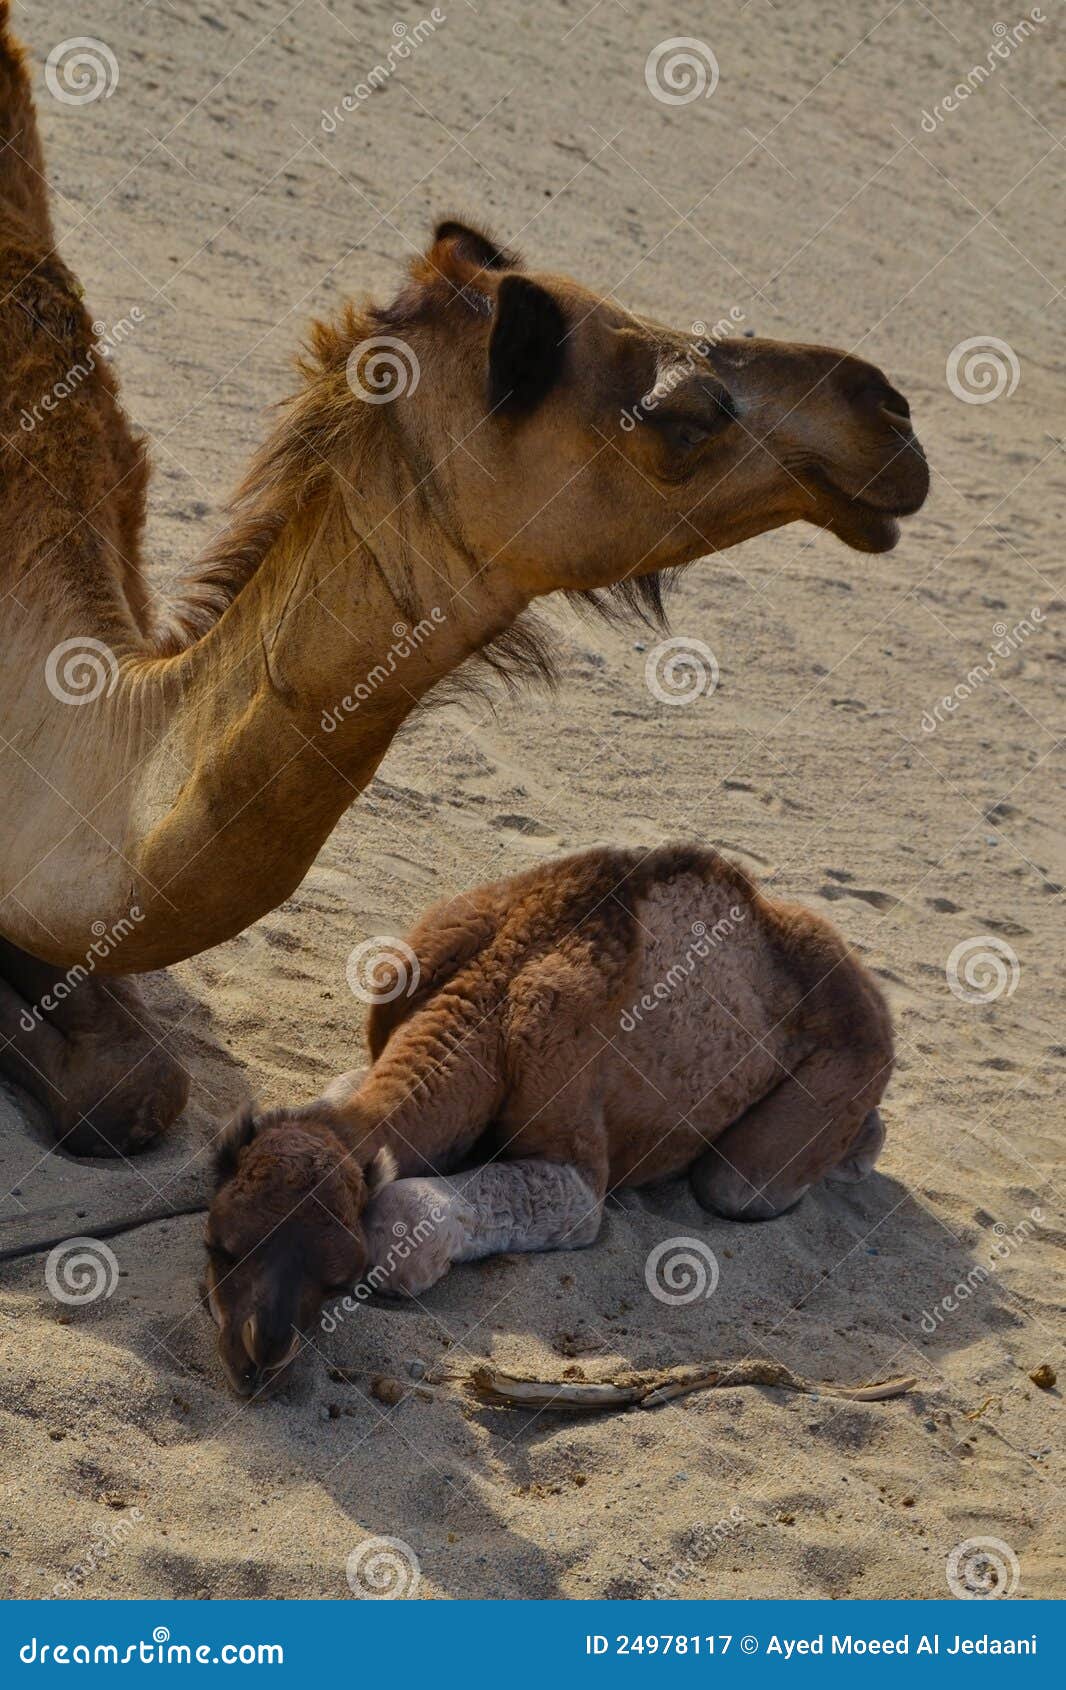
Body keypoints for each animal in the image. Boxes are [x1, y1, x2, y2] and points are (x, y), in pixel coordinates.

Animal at [205, 845, 892, 1397]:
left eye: (337, 1280)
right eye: (219, 1242)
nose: (259, 1357)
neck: (498, 982)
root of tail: (874, 994)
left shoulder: (571, 1126)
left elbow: (409, 1221)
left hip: (838, 1072)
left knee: (738, 1184)